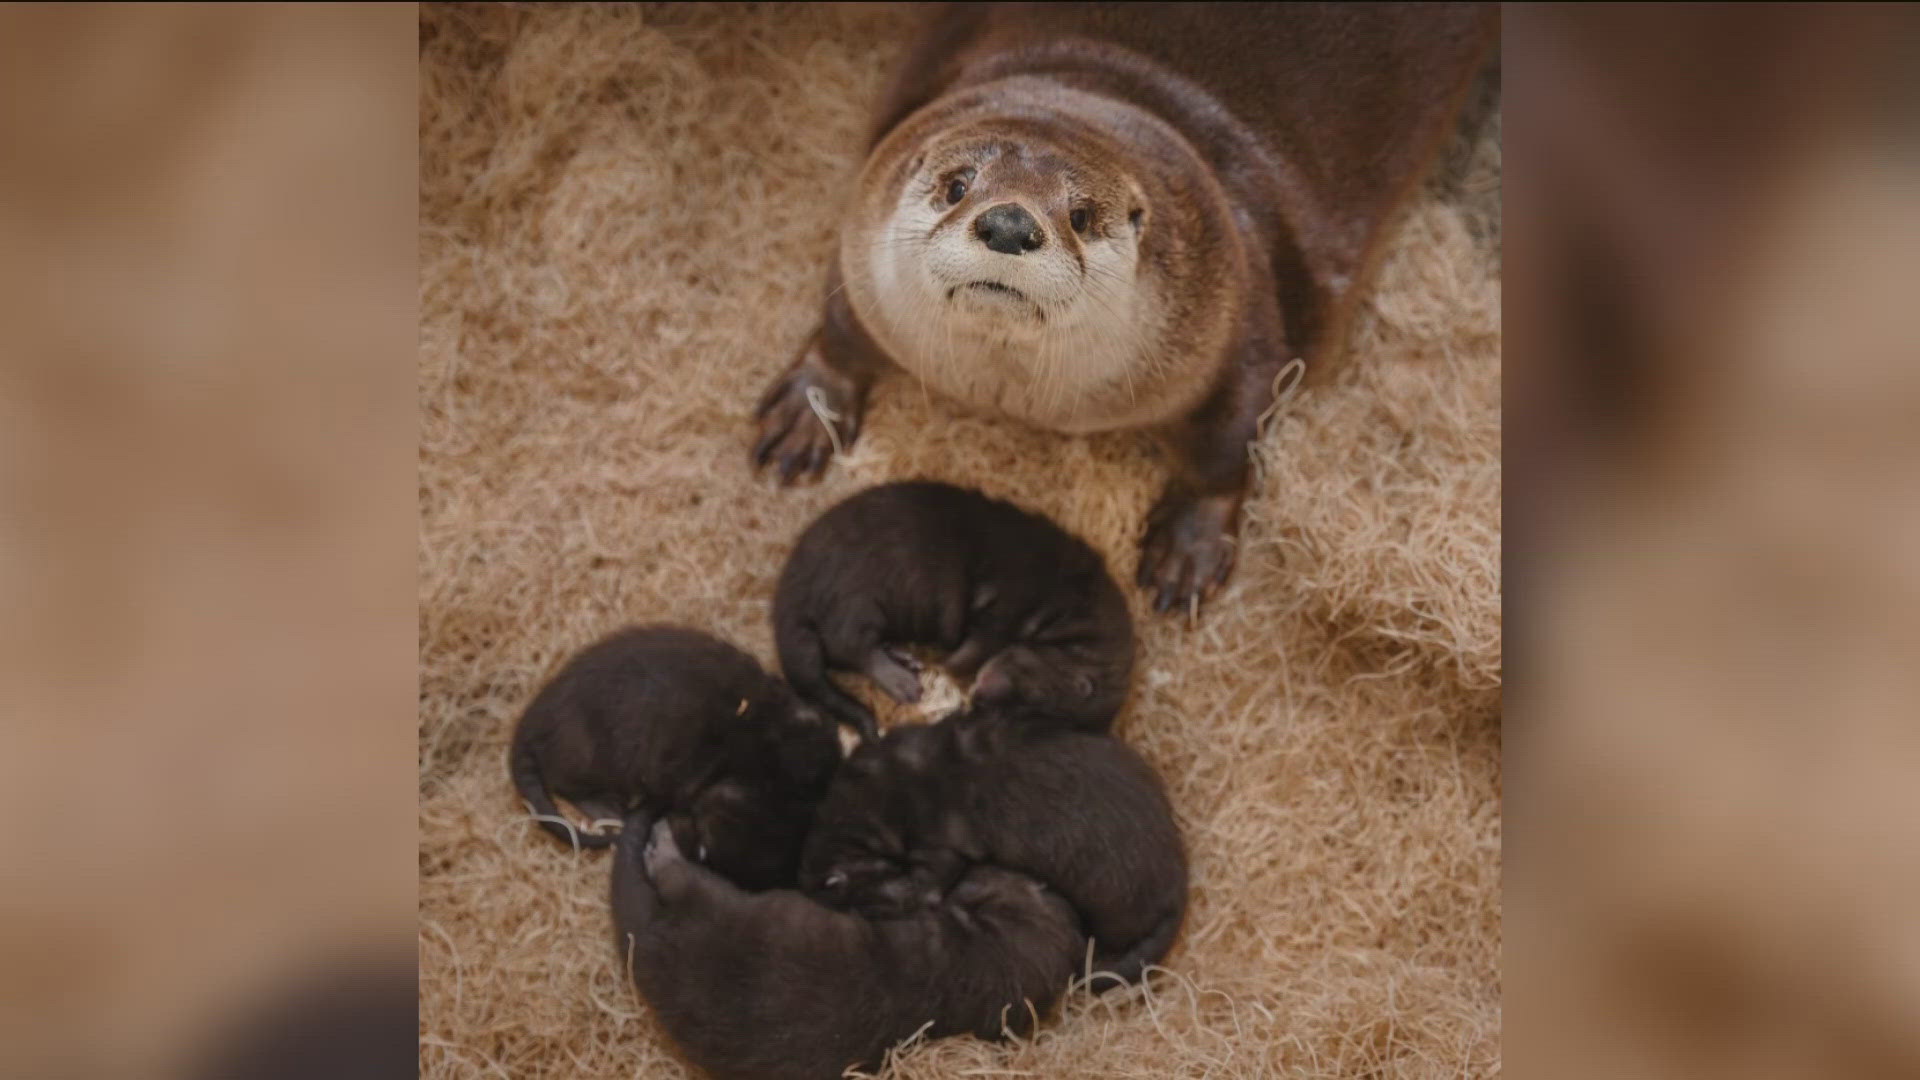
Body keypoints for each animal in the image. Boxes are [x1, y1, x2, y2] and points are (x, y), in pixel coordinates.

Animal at [751, 2, 1499, 614]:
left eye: (1080, 216)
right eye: (958, 185)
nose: (1009, 224)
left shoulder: (1241, 325)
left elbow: (1233, 436)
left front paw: (1188, 550)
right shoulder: (864, 243)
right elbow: (842, 322)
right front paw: (809, 411)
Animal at [773, 480, 1134, 740]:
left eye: (1018, 716)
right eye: (1034, 695)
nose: (980, 695)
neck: (1073, 609)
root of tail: (789, 595)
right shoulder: (1009, 604)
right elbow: (975, 648)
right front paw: (948, 667)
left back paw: (903, 657)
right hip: (855, 597)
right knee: (852, 646)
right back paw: (900, 679)